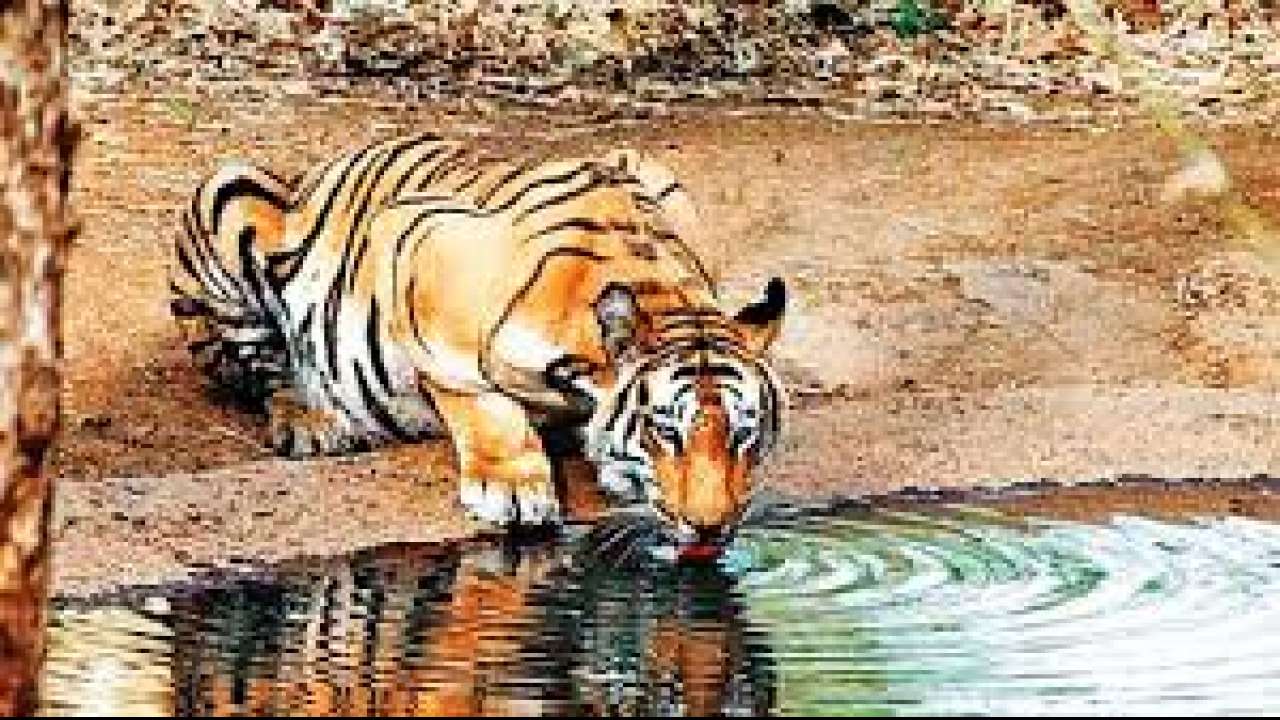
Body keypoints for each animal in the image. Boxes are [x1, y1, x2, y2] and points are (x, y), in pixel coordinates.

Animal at [170, 132, 788, 555]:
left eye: (745, 434)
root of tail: (312, 171)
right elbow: (475, 394)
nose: (711, 529)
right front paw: (515, 490)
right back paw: (311, 420)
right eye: (666, 432)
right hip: (228, 197)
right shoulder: (414, 240)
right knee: (257, 369)